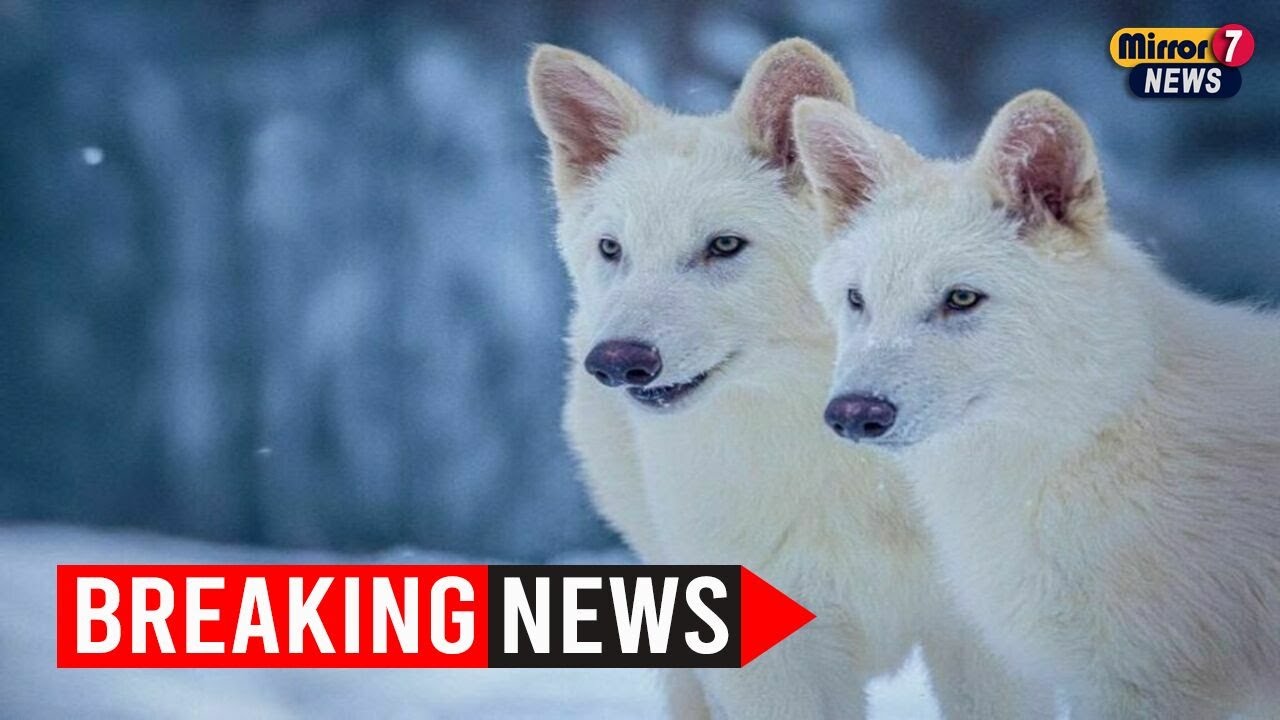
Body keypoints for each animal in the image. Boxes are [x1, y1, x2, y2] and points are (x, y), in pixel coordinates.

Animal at [528, 39, 1049, 718]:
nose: (616, 361)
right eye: (612, 249)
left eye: (724, 245)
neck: (840, 467)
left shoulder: (979, 641)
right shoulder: (770, 663)